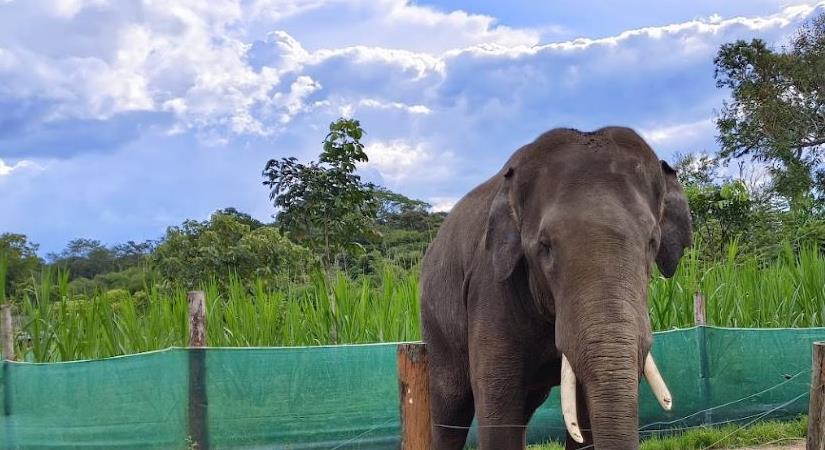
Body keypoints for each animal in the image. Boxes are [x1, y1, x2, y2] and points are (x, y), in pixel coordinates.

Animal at [419, 127, 692, 450]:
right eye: (545, 246)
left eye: (652, 241)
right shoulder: (490, 285)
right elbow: (498, 402)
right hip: (436, 326)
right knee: (452, 406)